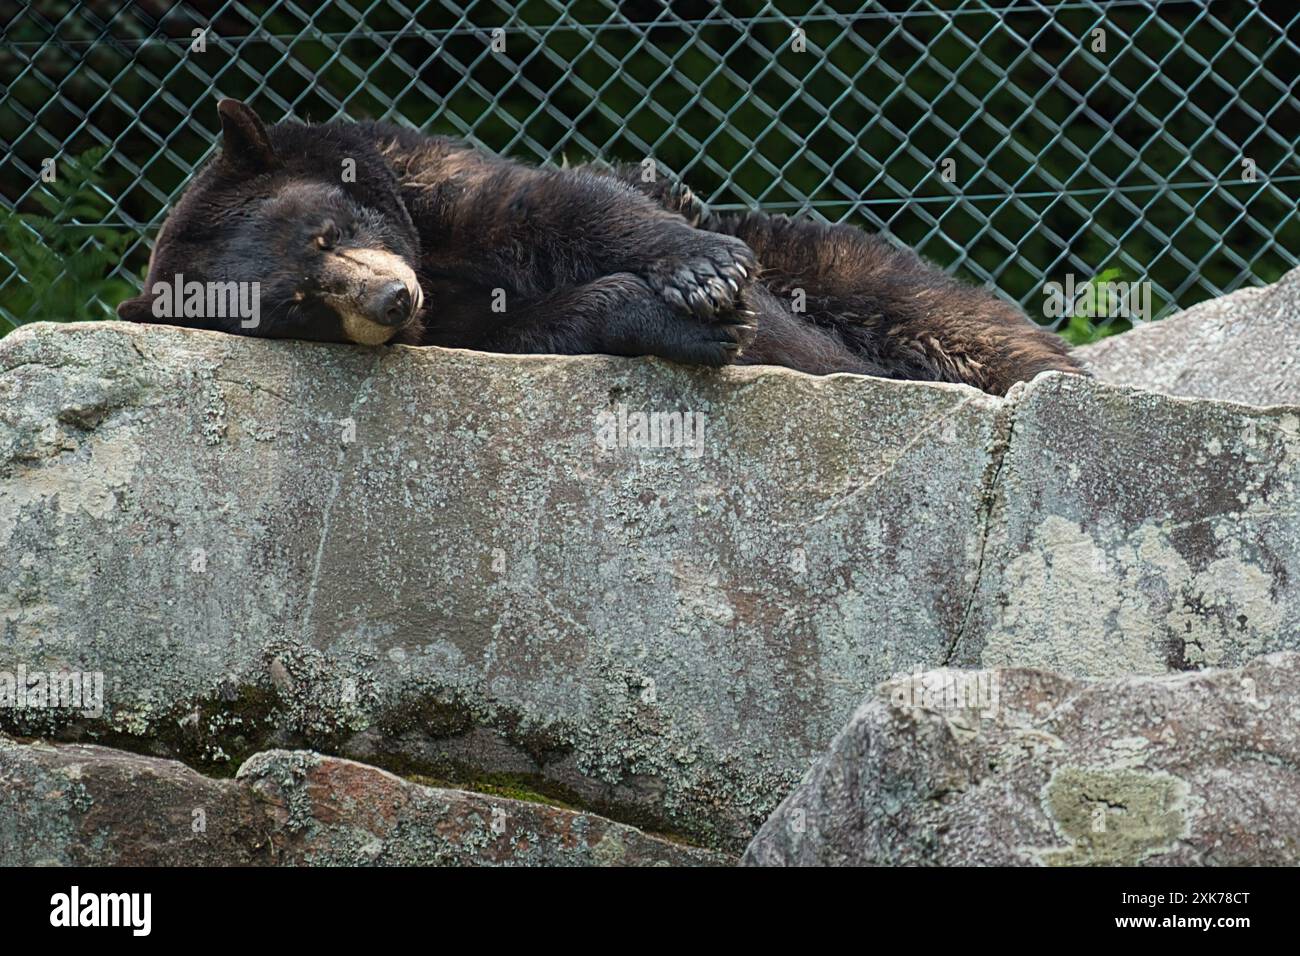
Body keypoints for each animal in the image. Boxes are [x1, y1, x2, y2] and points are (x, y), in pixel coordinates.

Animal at [116, 99, 1083, 396]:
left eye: (329, 229)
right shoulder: (455, 327)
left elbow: (559, 205)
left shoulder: (422, 181)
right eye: (297, 307)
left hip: (824, 262)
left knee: (934, 311)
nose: (391, 300)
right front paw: (690, 325)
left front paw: (701, 273)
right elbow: (534, 328)